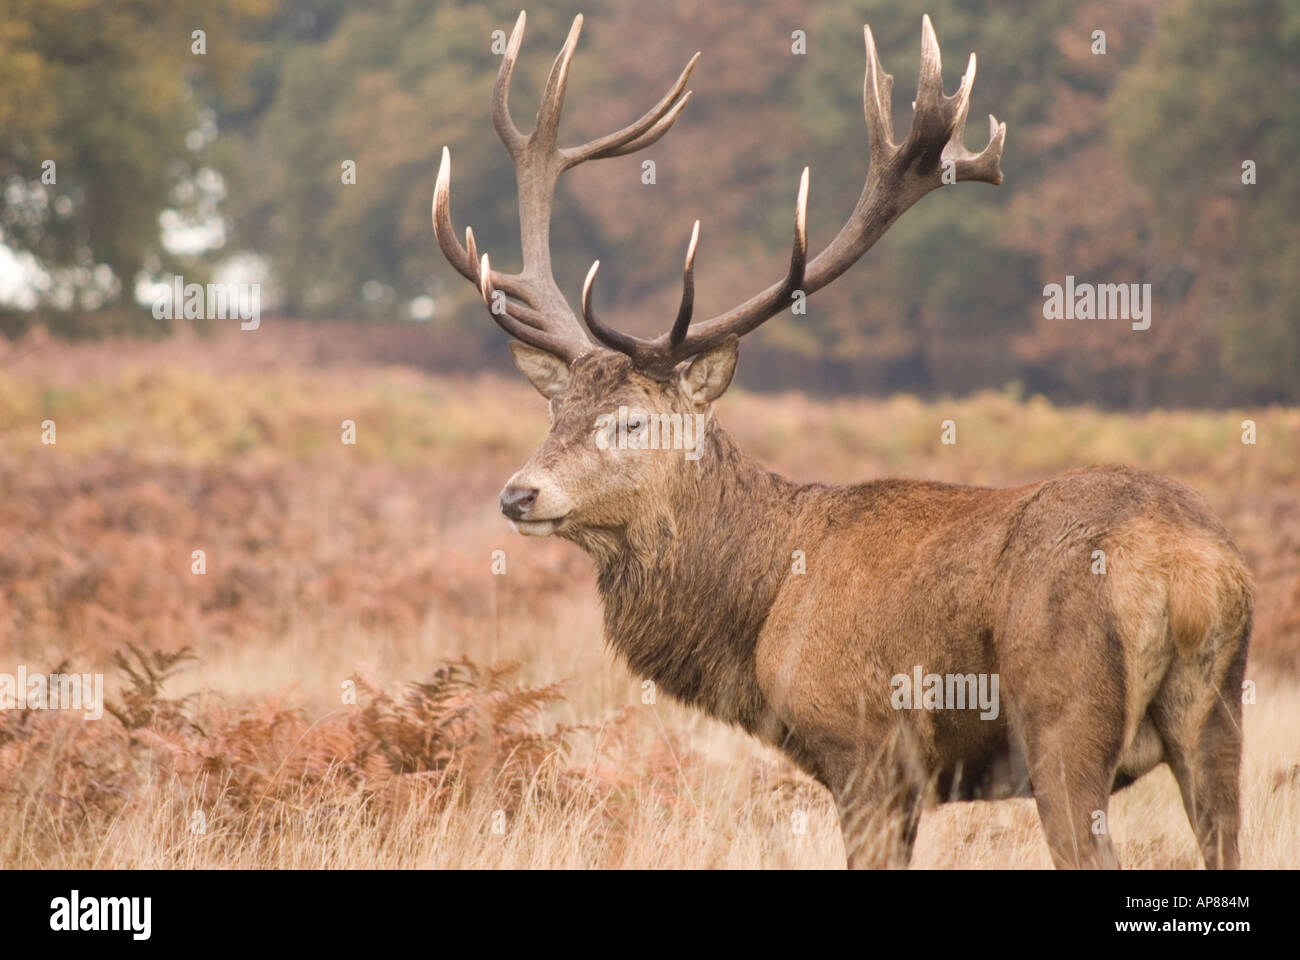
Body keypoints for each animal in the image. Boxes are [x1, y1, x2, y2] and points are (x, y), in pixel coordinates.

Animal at [432, 11, 1254, 869]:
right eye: (553, 411)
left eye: (631, 419)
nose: (518, 494)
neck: (757, 609)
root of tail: (1189, 568)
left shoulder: (866, 747)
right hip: (1218, 717)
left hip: (1063, 717)